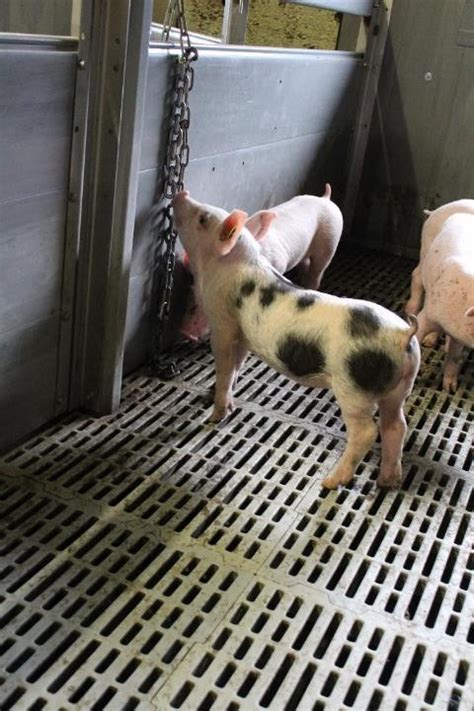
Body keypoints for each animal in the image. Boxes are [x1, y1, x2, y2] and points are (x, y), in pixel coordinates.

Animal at [179, 184, 343, 341]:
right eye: (193, 290)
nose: (187, 333)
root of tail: (325, 198)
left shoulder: (279, 263)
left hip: (330, 241)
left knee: (318, 270)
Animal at [406, 200, 474, 392]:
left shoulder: (458, 331)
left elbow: (454, 357)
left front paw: (450, 388)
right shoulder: (428, 315)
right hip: (424, 251)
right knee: (416, 277)